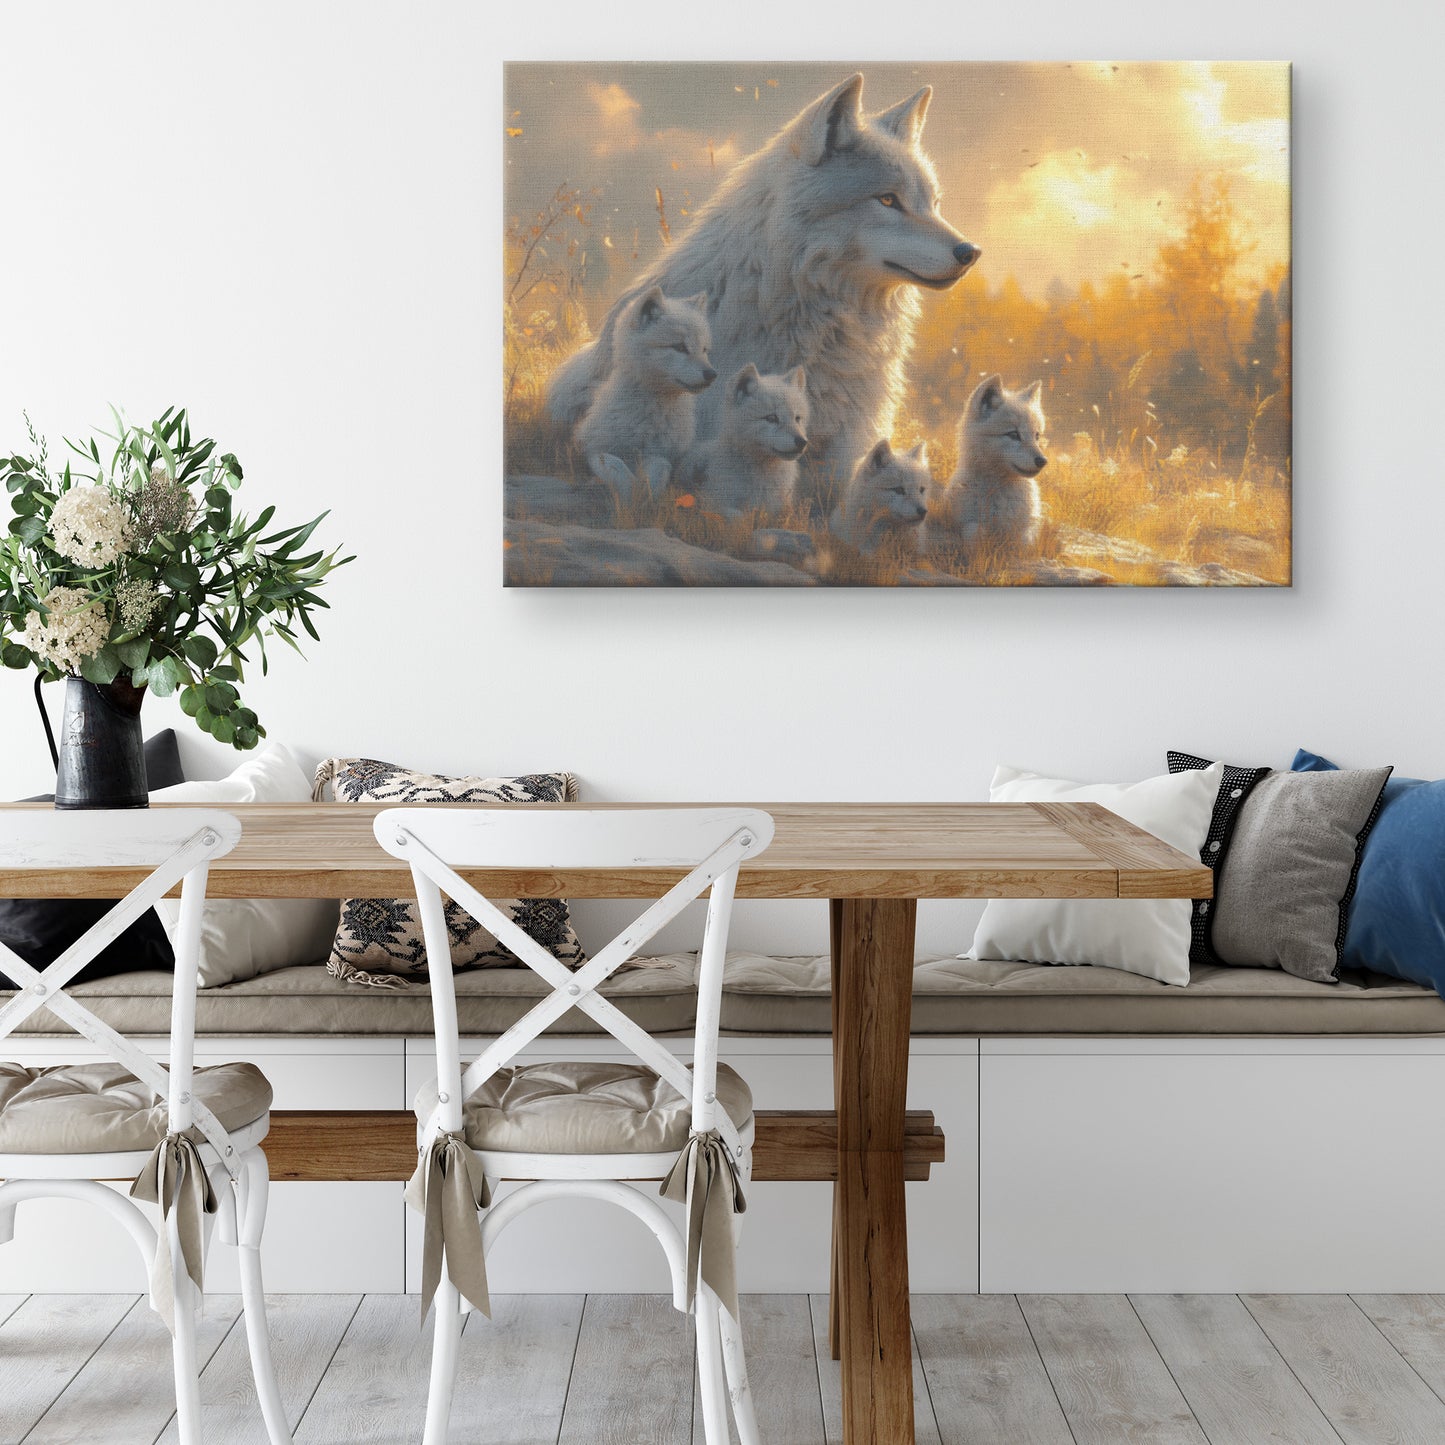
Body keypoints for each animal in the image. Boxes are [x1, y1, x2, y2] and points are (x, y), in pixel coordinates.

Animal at [573, 285, 716, 486]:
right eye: (680, 347)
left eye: (704, 350)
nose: (712, 375)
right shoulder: (593, 450)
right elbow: (615, 467)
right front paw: (629, 489)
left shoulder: (661, 456)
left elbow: (659, 468)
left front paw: (646, 490)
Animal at [685, 363, 809, 516]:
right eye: (772, 418)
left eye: (797, 418)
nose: (802, 442)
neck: (762, 476)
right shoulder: (714, 504)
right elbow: (738, 516)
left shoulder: (782, 506)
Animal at [926, 376, 1048, 556]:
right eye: (1013, 434)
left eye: (1036, 436)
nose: (1042, 461)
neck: (997, 495)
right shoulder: (965, 523)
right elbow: (973, 531)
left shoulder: (1025, 532)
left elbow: (1021, 544)